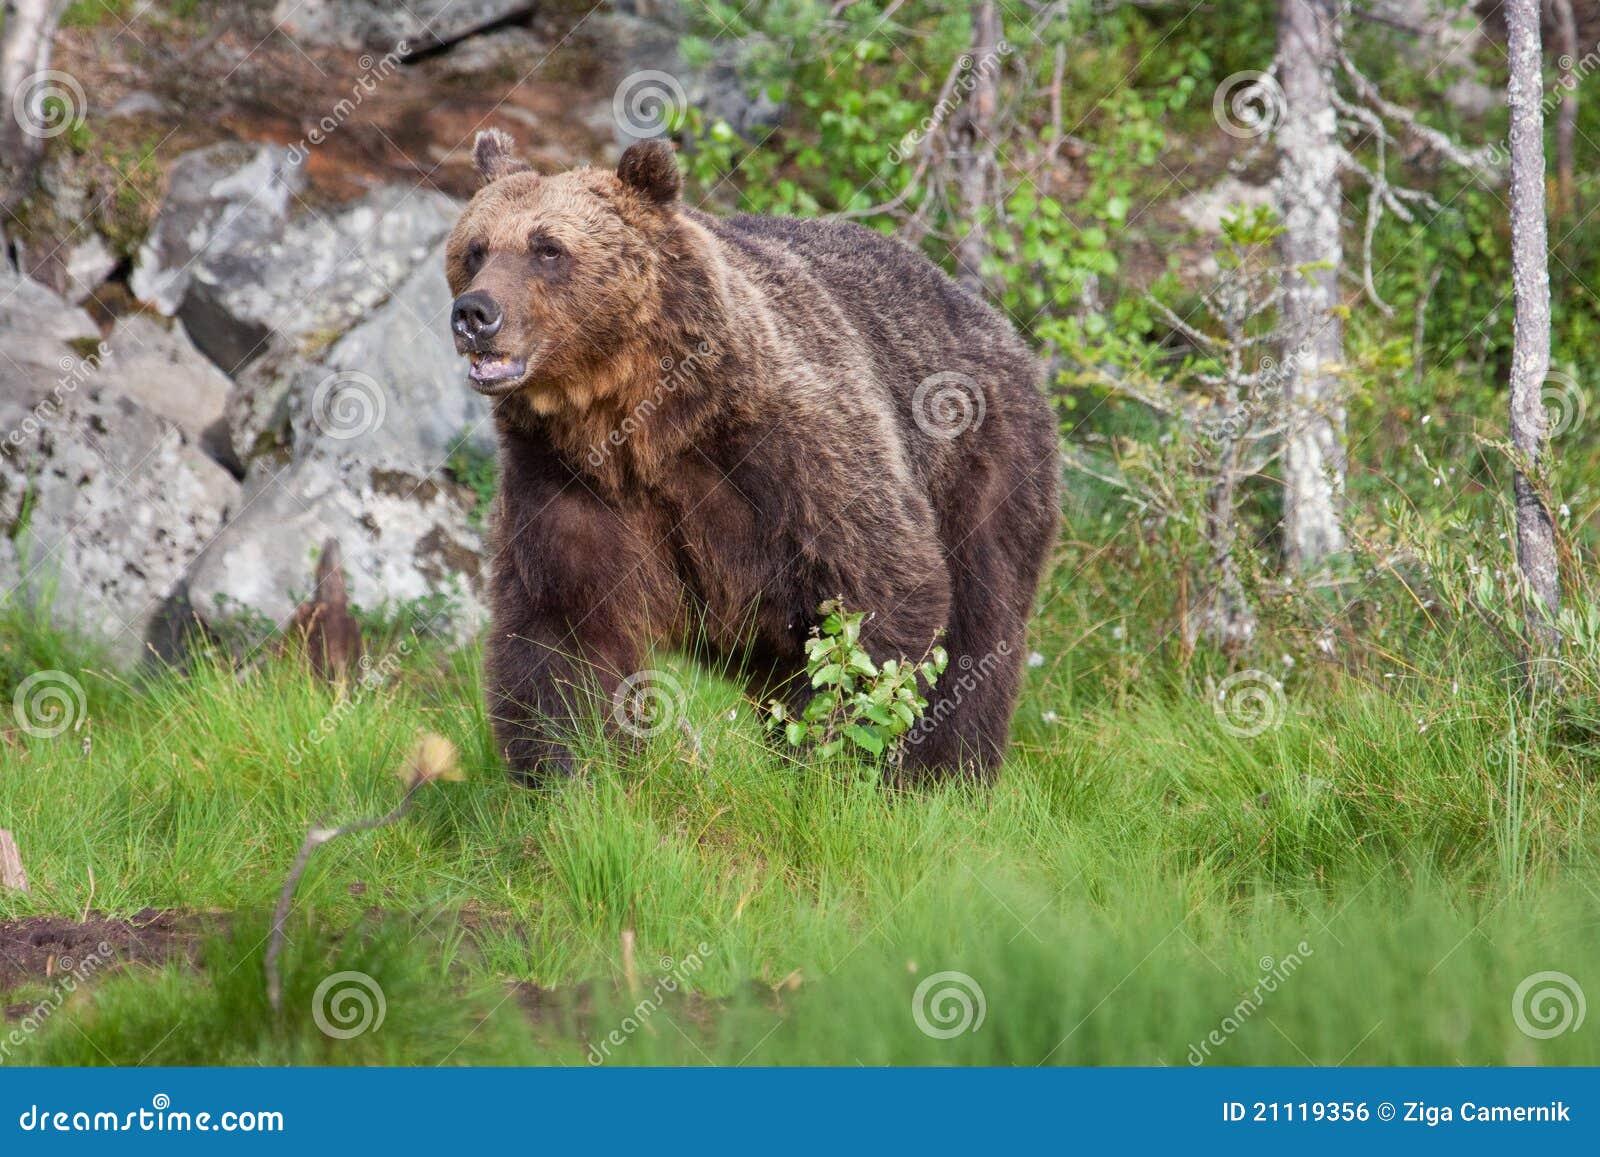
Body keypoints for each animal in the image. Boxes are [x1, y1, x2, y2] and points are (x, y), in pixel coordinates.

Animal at [444, 128, 1059, 783]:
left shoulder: (791, 453)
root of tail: (995, 321)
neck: (636, 421)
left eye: (548, 248)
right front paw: (576, 771)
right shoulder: (565, 479)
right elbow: (562, 627)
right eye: (476, 248)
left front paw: (837, 762)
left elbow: (879, 595)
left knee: (978, 629)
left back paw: (951, 771)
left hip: (985, 470)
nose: (476, 313)